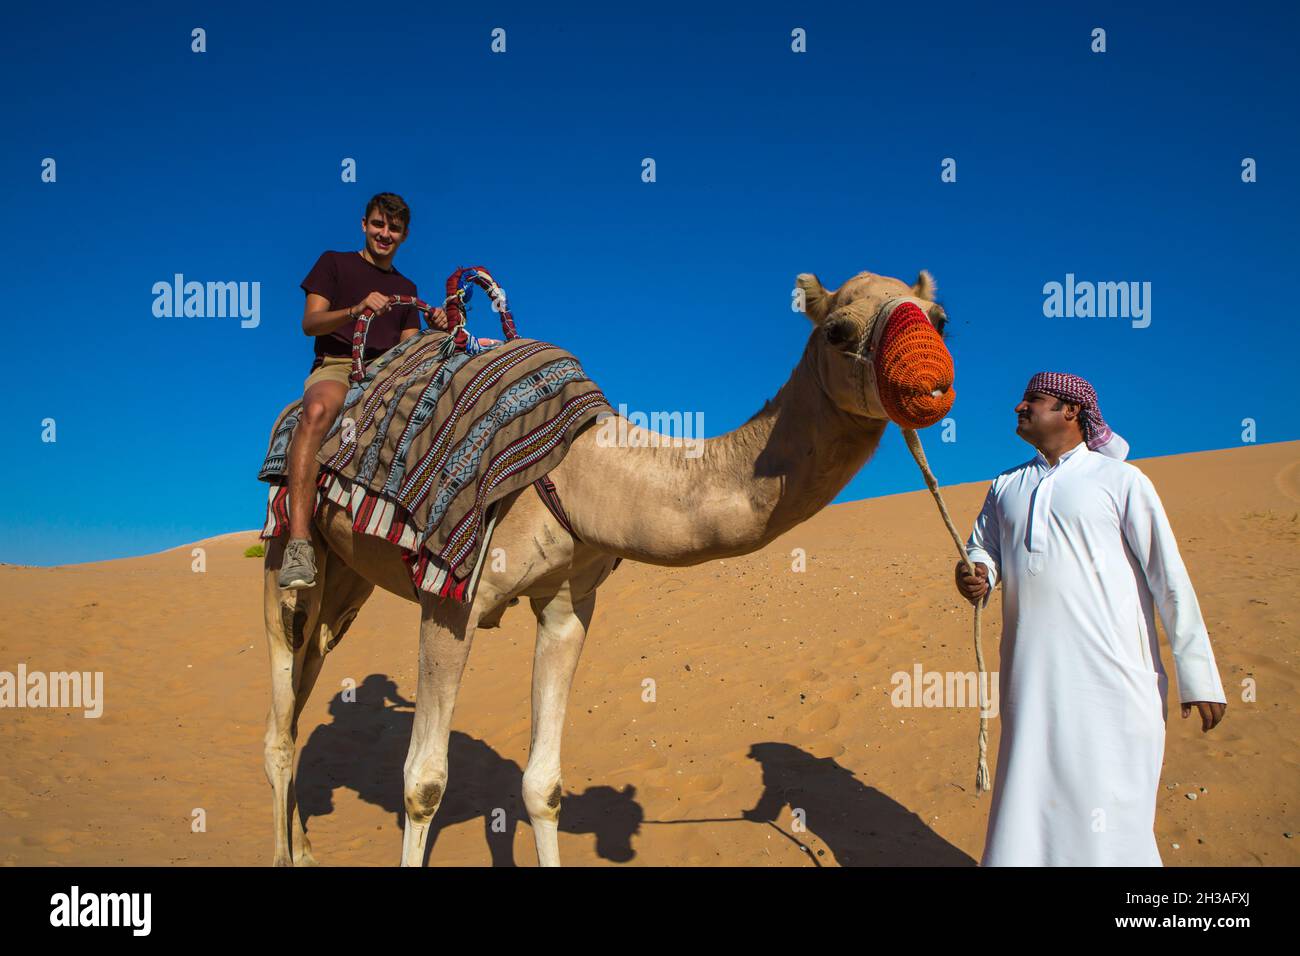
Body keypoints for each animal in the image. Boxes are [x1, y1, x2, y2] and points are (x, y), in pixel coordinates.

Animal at [262, 267, 954, 867]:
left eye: (942, 319)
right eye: (838, 330)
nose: (933, 382)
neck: (583, 473)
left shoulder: (568, 606)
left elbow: (542, 786)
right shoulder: (449, 598)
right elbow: (423, 783)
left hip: (349, 581)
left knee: (302, 689)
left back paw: (306, 848)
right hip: (289, 552)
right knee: (280, 721)